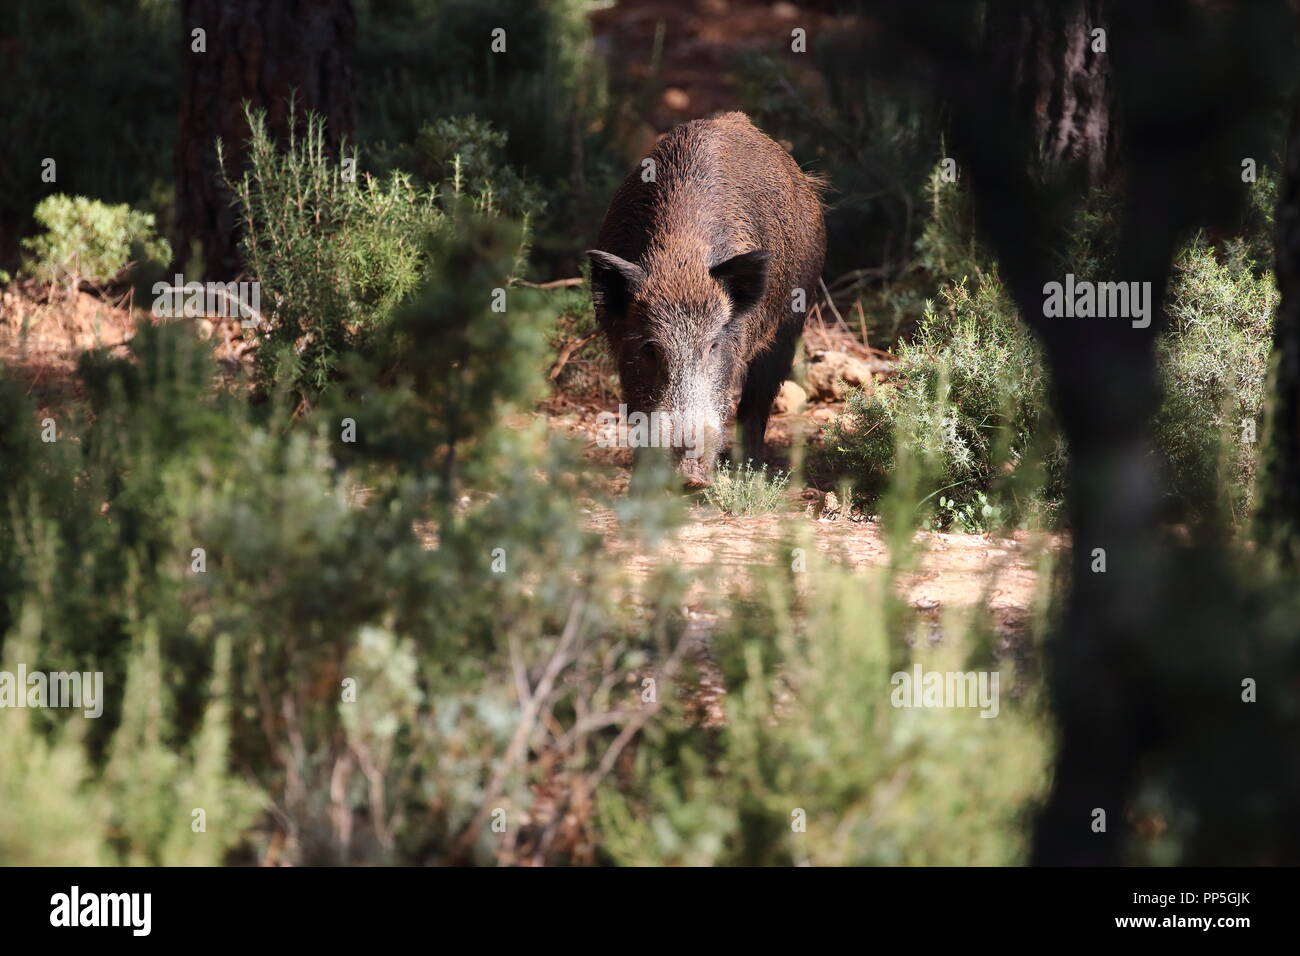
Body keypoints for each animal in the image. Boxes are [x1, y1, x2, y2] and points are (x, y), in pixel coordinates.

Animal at [587, 111, 826, 488]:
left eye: (713, 346)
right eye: (650, 348)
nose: (690, 477)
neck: (680, 259)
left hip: (791, 323)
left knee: (757, 402)